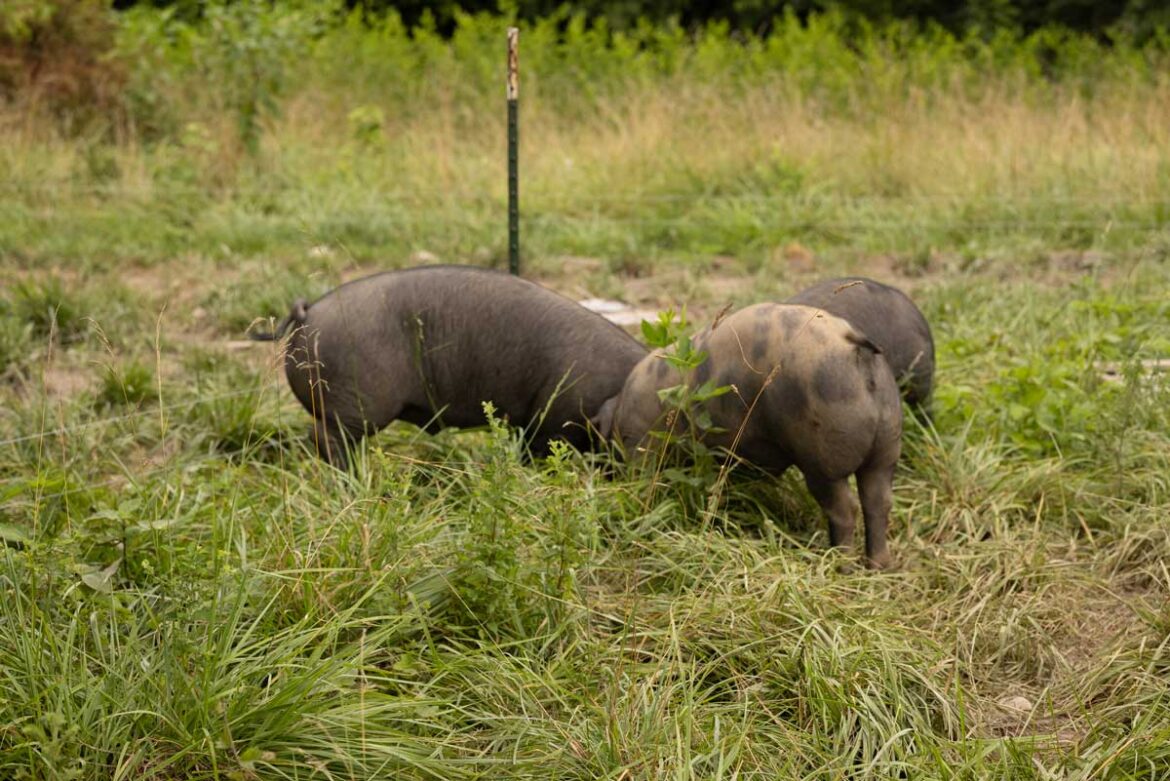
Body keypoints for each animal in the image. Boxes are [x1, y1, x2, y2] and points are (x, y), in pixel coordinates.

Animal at [595, 304, 902, 569]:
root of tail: (851, 342)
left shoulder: (642, 445)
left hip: (821, 460)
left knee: (845, 509)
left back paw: (842, 566)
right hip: (886, 449)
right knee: (878, 503)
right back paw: (880, 567)